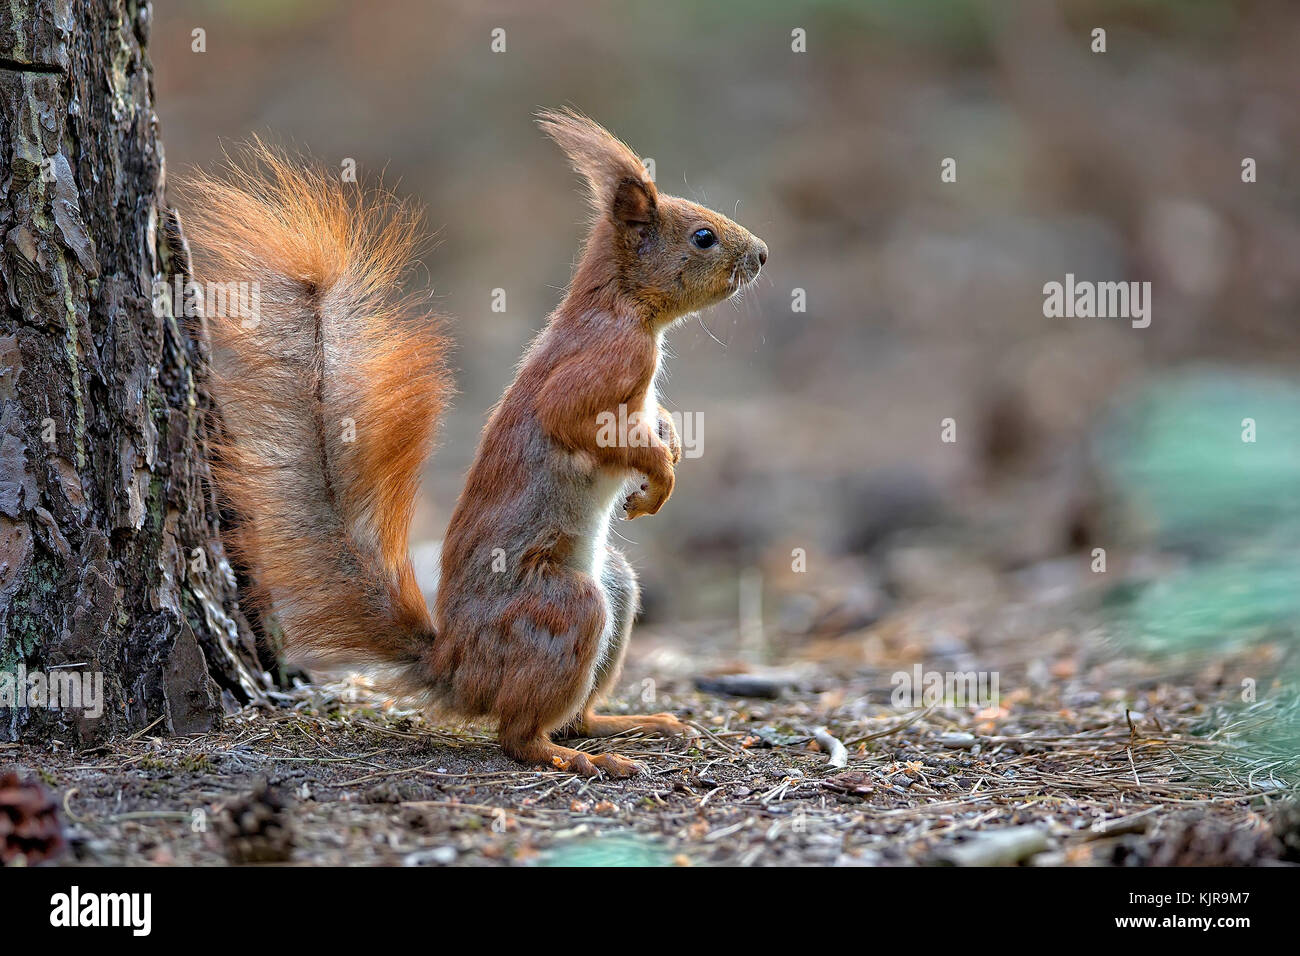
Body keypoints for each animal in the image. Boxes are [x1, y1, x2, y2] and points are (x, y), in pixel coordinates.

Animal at [183, 109, 768, 776]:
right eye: (703, 237)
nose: (763, 255)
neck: (623, 304)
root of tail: (457, 668)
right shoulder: (599, 367)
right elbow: (577, 422)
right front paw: (659, 475)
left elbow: (661, 417)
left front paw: (668, 452)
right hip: (564, 607)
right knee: (517, 734)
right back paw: (577, 758)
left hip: (616, 588)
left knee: (577, 714)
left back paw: (631, 725)